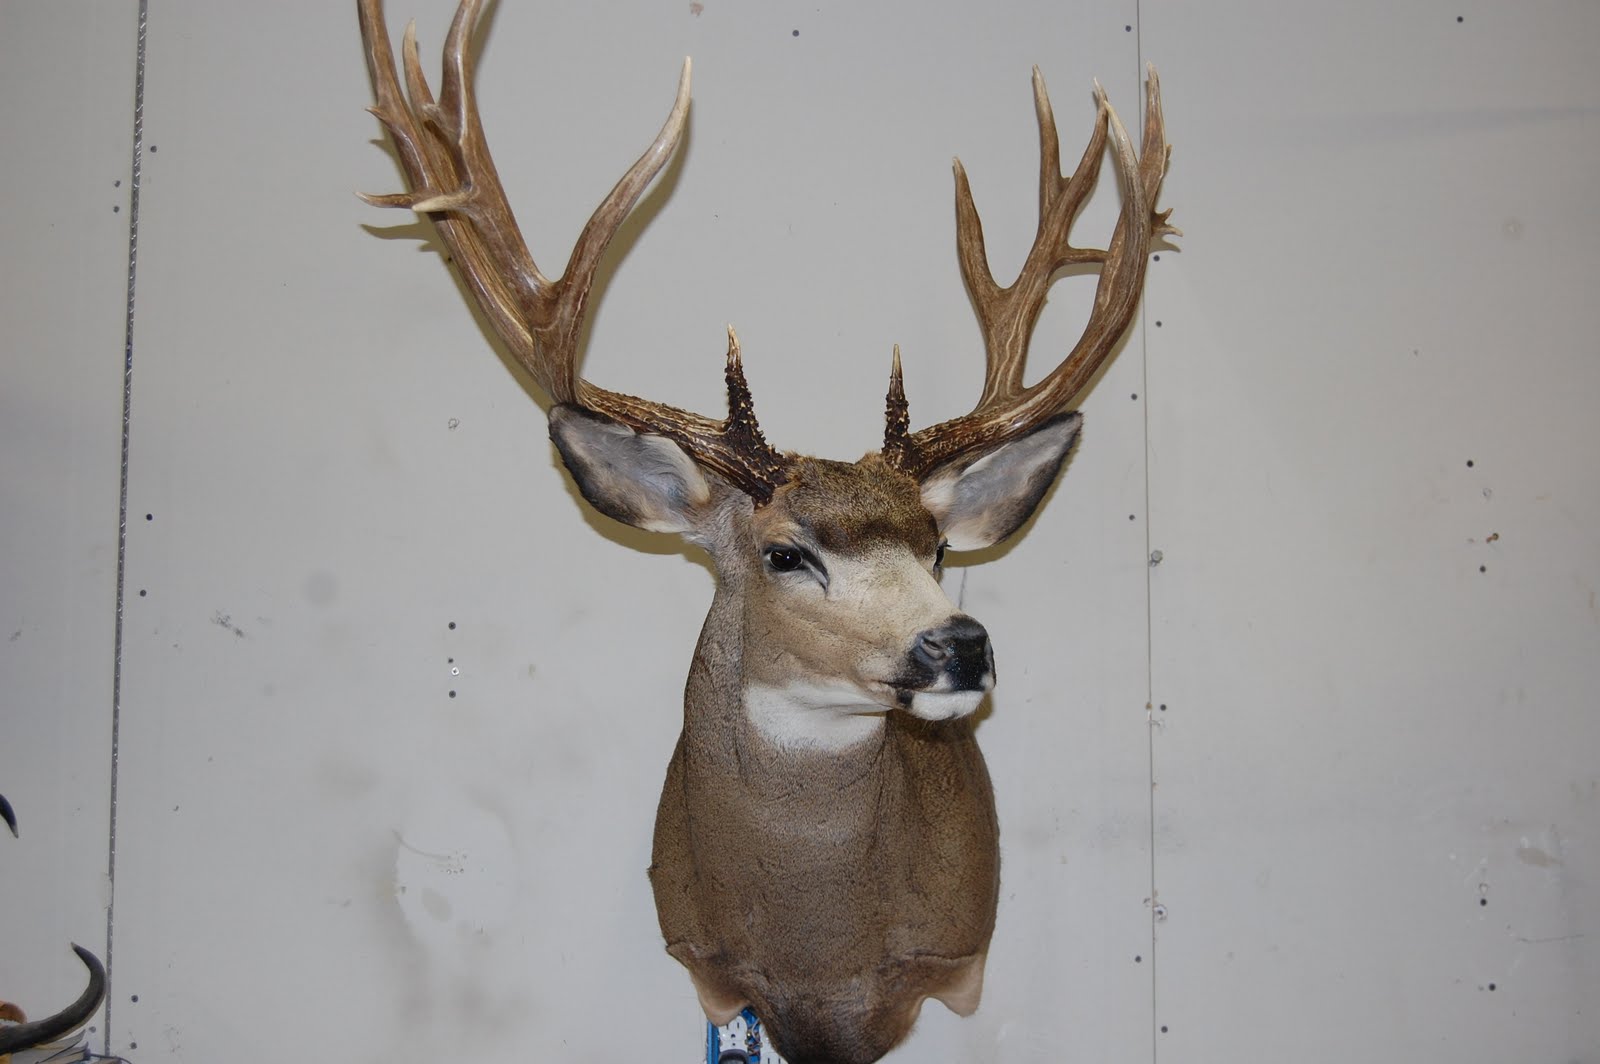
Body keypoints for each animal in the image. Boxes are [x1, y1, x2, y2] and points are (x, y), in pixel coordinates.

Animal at [358, 3, 1174, 1061]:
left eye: (937, 547)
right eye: (787, 552)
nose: (961, 643)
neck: (816, 949)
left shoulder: (939, 973)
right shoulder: (711, 971)